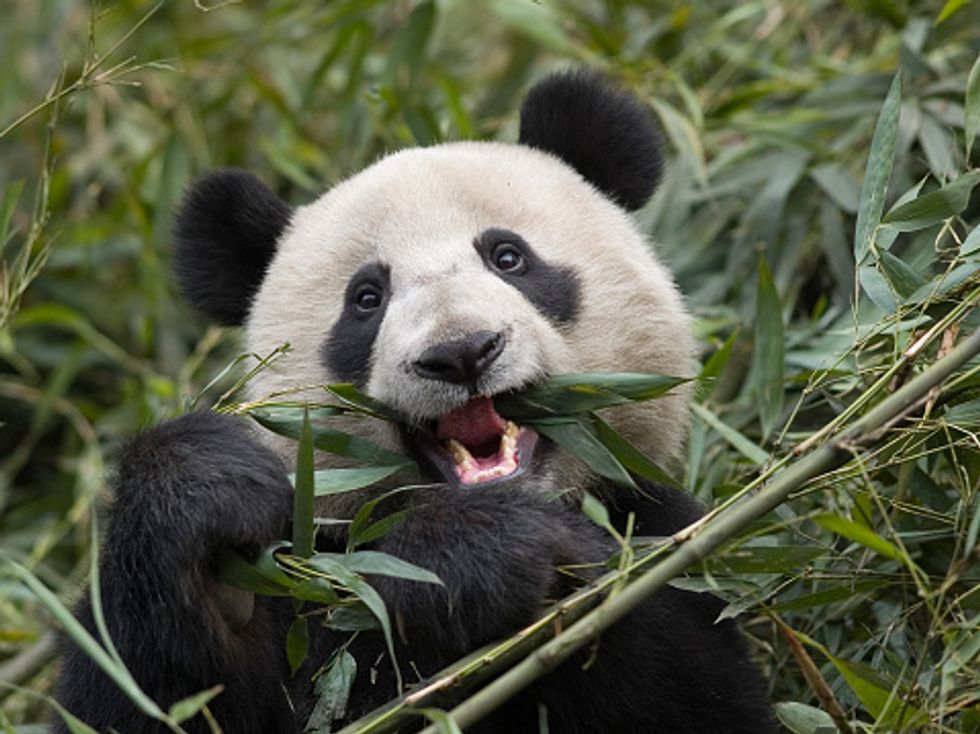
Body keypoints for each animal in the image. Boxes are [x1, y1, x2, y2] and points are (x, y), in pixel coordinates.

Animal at [55, 71, 777, 733]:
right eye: (366, 299)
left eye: (509, 257)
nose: (461, 353)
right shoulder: (306, 583)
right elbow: (147, 695)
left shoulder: (662, 533)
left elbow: (686, 684)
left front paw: (504, 559)